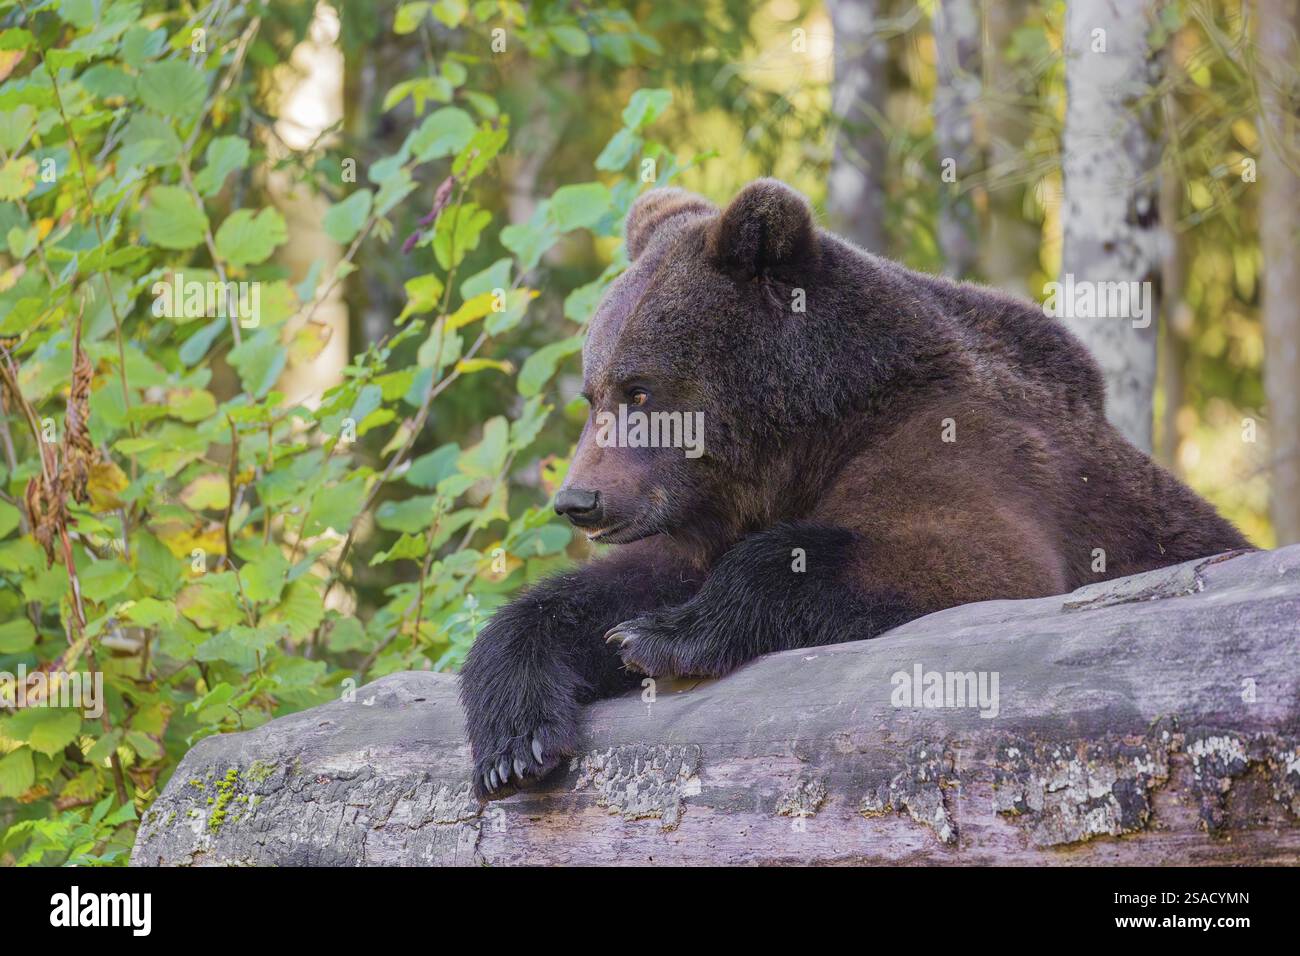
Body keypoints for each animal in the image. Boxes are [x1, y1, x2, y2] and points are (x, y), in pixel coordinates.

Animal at [458, 178, 1251, 801]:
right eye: (593, 393)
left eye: (640, 390)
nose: (579, 501)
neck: (810, 439)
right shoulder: (716, 514)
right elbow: (596, 594)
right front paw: (514, 737)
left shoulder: (963, 443)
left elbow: (964, 556)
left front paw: (662, 635)